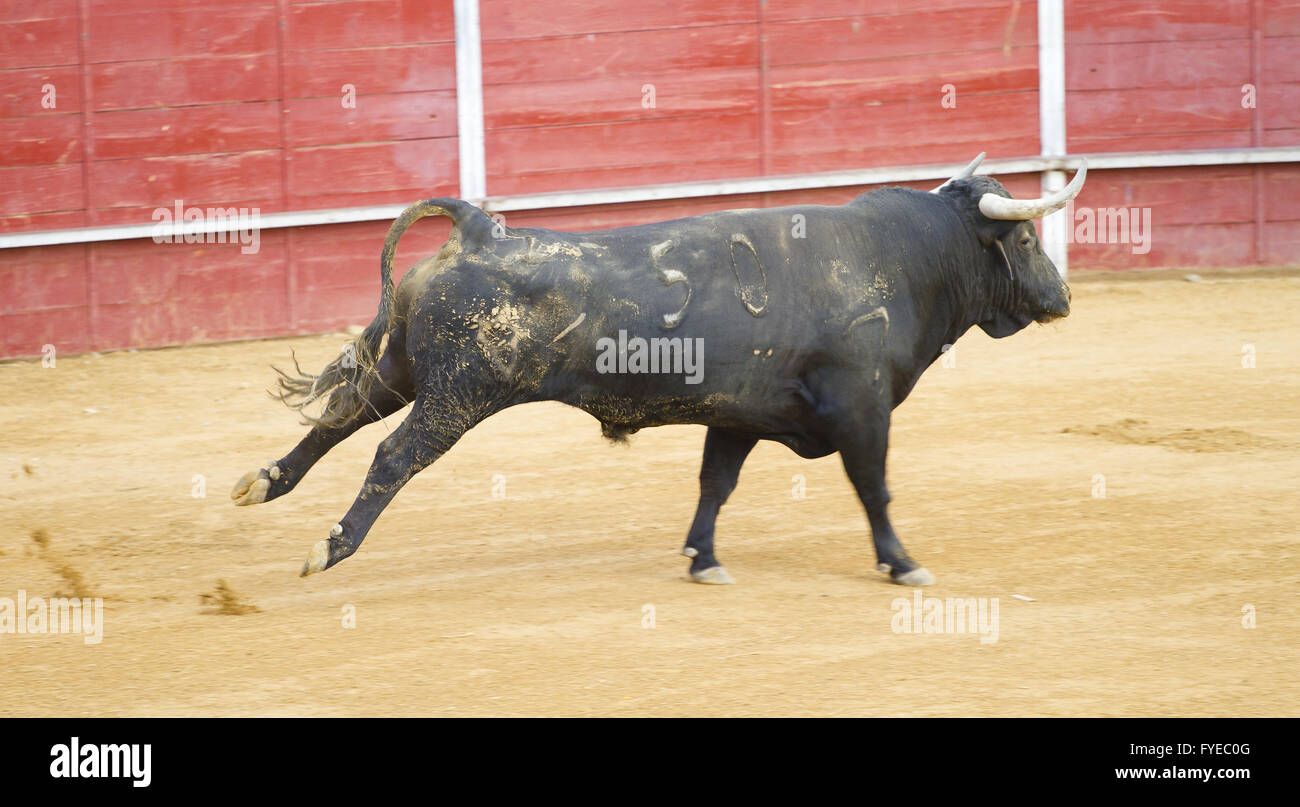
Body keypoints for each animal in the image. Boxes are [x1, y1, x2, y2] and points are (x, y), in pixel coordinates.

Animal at [232, 153, 1086, 586]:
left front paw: (703, 559)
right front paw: (902, 562)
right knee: (389, 455)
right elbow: (873, 486)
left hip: (409, 370)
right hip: (456, 396)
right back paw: (331, 546)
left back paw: (264, 482)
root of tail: (478, 228)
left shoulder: (740, 414)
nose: (1063, 297)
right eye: (1025, 239)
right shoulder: (862, 408)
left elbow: (715, 483)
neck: (900, 261)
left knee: (342, 416)